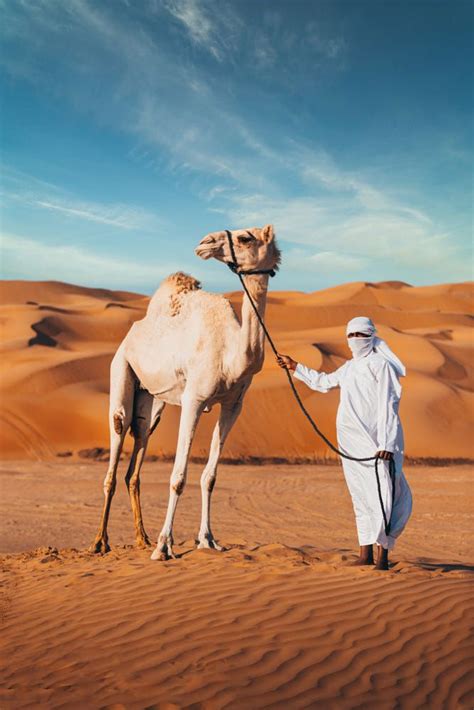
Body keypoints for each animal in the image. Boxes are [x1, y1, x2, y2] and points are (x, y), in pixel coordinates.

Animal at [90, 224, 281, 560]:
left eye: (245, 237)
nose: (205, 242)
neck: (232, 355)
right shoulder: (194, 399)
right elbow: (178, 478)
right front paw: (164, 546)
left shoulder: (234, 405)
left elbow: (210, 477)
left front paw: (208, 539)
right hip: (121, 368)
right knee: (117, 437)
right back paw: (102, 542)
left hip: (151, 400)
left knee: (139, 444)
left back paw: (141, 538)